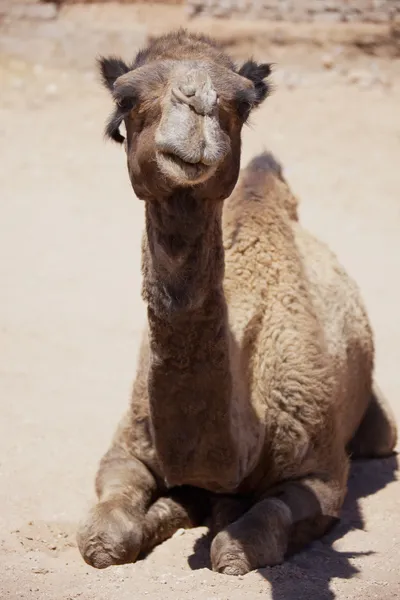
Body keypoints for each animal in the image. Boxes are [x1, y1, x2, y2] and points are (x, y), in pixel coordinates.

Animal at [76, 30, 396, 576]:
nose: (195, 99)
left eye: (243, 102)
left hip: (378, 427)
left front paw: (223, 525)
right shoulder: (126, 449)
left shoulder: (321, 475)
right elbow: (103, 537)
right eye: (124, 100)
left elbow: (242, 542)